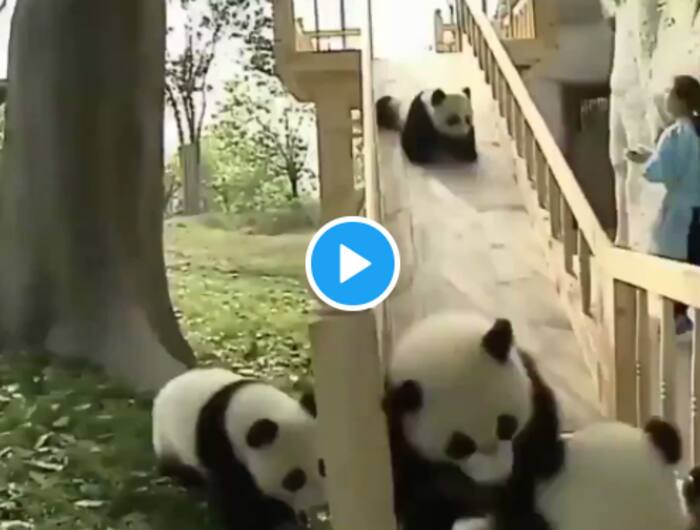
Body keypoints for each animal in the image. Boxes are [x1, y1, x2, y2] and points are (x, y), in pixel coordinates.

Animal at [152, 367, 326, 530]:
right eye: (294, 479)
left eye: (323, 467)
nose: (319, 507)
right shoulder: (219, 444)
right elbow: (234, 495)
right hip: (169, 439)